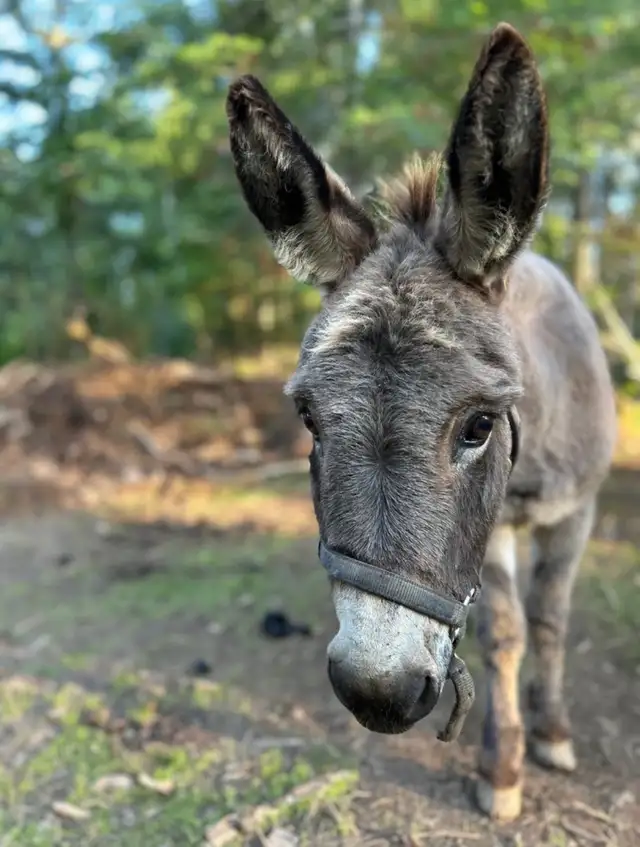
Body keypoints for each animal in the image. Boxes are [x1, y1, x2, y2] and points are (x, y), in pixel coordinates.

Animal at [225, 22, 617, 821]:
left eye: (479, 425)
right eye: (308, 418)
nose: (378, 692)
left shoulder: (578, 508)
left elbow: (549, 617)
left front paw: (552, 734)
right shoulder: (492, 531)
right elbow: (505, 631)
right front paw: (503, 766)